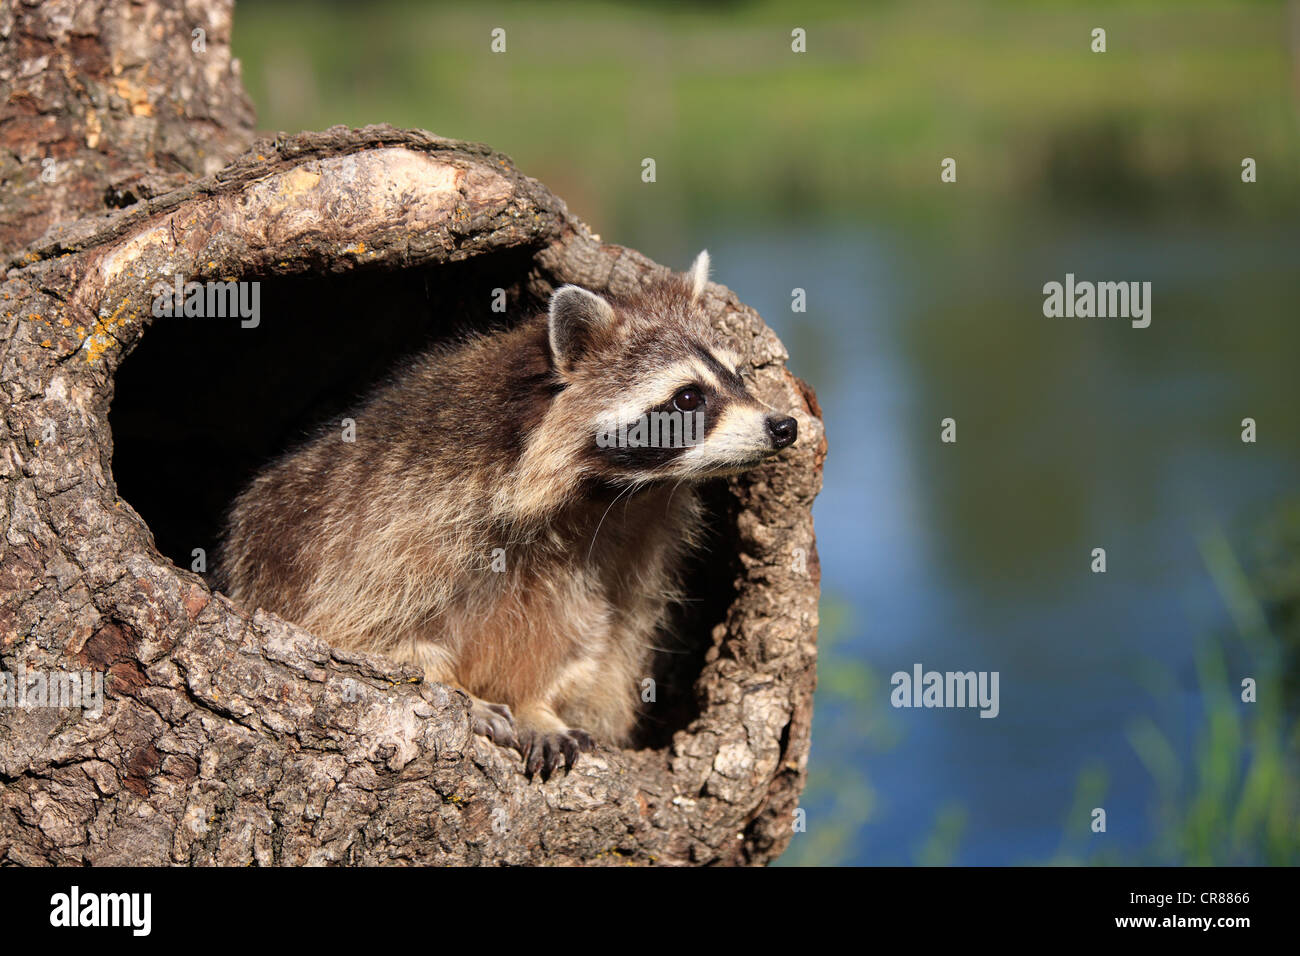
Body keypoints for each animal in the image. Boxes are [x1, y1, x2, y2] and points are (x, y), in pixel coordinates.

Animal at [216, 252, 798, 777]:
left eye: (739, 375)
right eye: (688, 398)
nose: (784, 425)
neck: (600, 496)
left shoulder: (632, 541)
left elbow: (594, 634)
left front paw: (538, 704)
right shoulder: (390, 515)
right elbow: (360, 627)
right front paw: (450, 687)